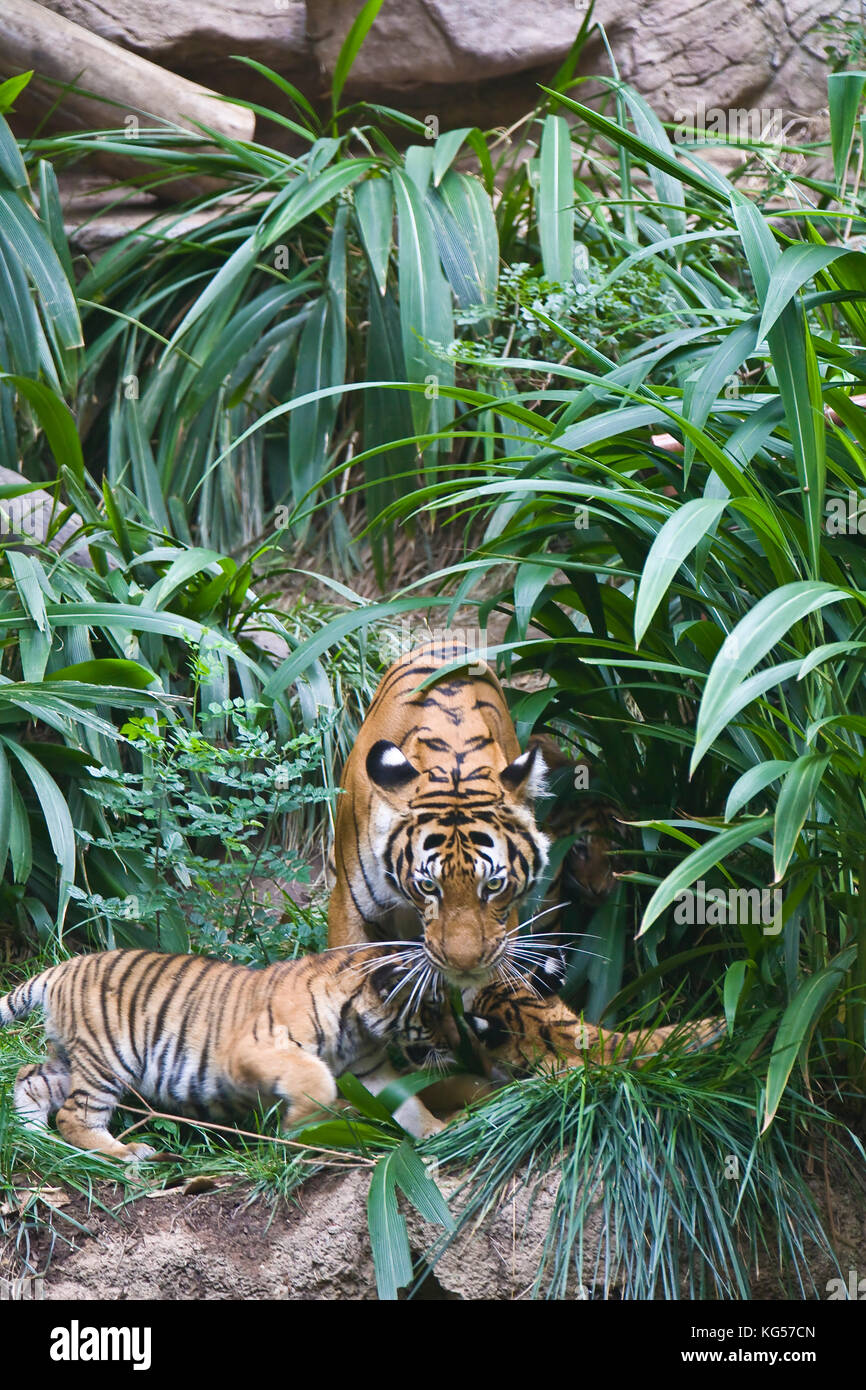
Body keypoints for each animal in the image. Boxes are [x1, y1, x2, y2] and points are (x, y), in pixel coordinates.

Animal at [0, 944, 449, 1160]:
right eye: (432, 1008)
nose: (452, 1045)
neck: (356, 1028)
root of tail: (64, 966)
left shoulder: (372, 1070)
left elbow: (410, 1104)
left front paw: (442, 1133)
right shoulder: (250, 1049)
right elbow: (314, 1077)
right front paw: (304, 1127)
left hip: (71, 1057)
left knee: (28, 1077)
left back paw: (32, 1134)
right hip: (107, 1060)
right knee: (74, 1116)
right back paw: (127, 1152)